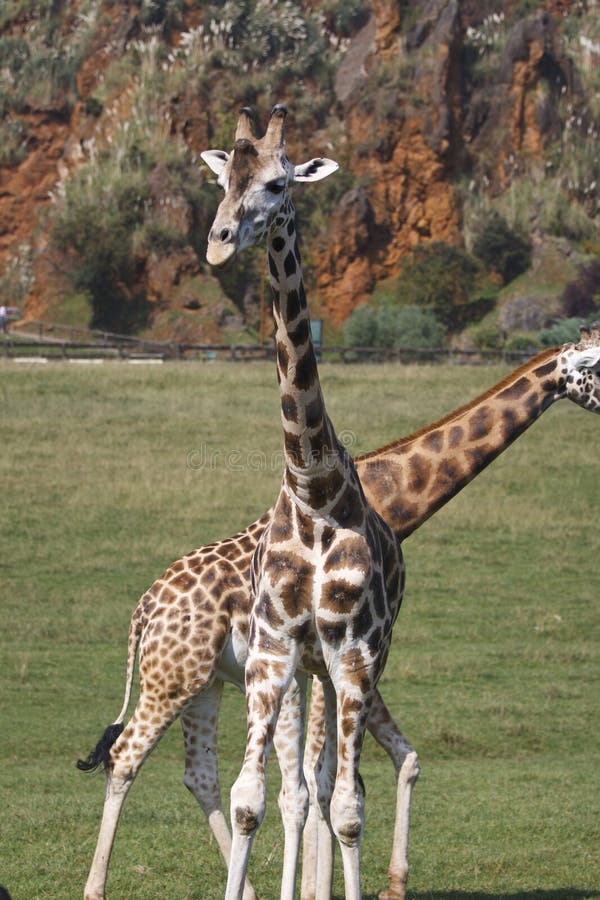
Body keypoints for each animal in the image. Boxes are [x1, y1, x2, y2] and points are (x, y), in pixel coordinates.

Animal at [77, 321, 600, 900]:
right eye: (596, 369)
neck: (390, 498)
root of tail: (143, 610)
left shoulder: (333, 665)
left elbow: (365, 770)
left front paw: (349, 884)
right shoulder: (327, 663)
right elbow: (316, 783)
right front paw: (321, 886)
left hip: (203, 684)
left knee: (201, 774)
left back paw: (247, 887)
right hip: (171, 678)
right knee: (125, 758)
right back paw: (96, 888)